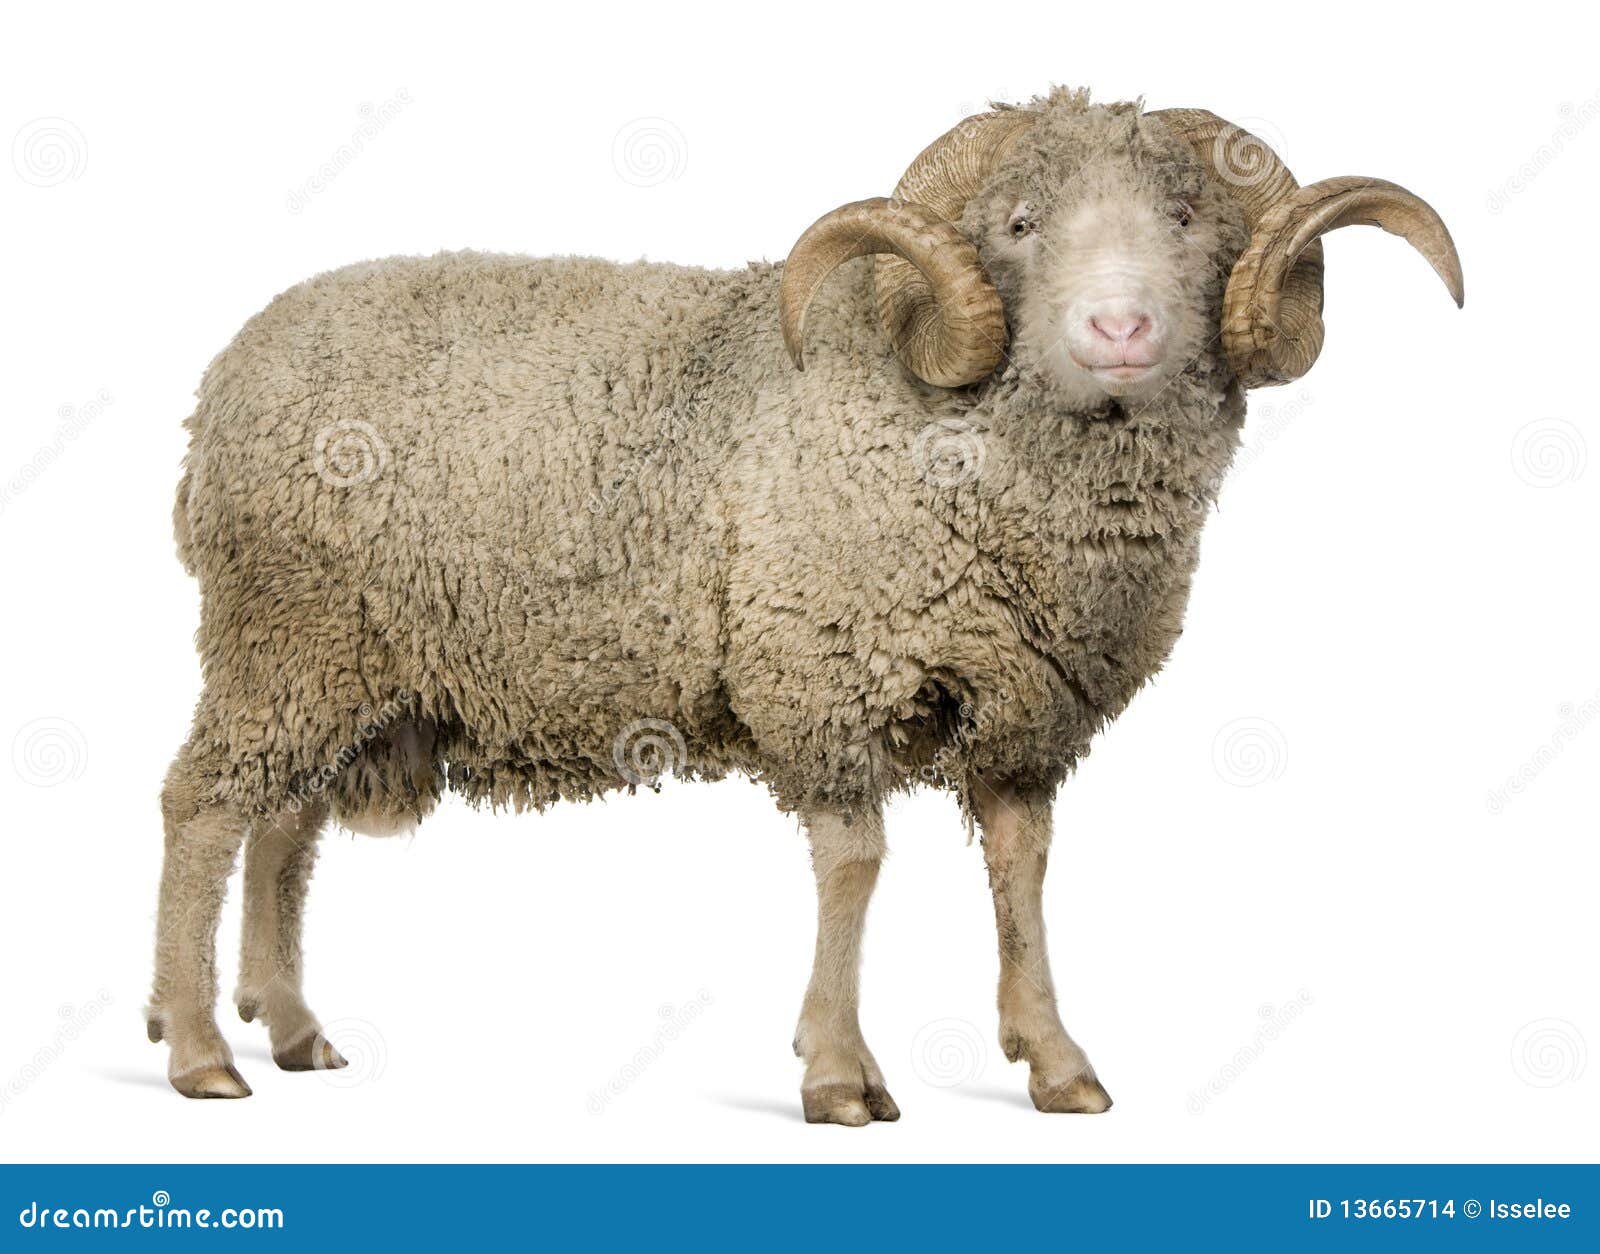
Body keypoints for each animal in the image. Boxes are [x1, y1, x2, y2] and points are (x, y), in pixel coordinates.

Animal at [148, 87, 1462, 1121]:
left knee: (285, 826)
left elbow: (1023, 869)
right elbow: (856, 863)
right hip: (285, 635)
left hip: (349, 669)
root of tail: (223, 379)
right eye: (1020, 226)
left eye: (1187, 221)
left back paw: (291, 1026)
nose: (1122, 327)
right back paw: (201, 1048)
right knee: (204, 811)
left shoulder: (1026, 711)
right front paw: (837, 1073)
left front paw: (1055, 1062)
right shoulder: (822, 666)